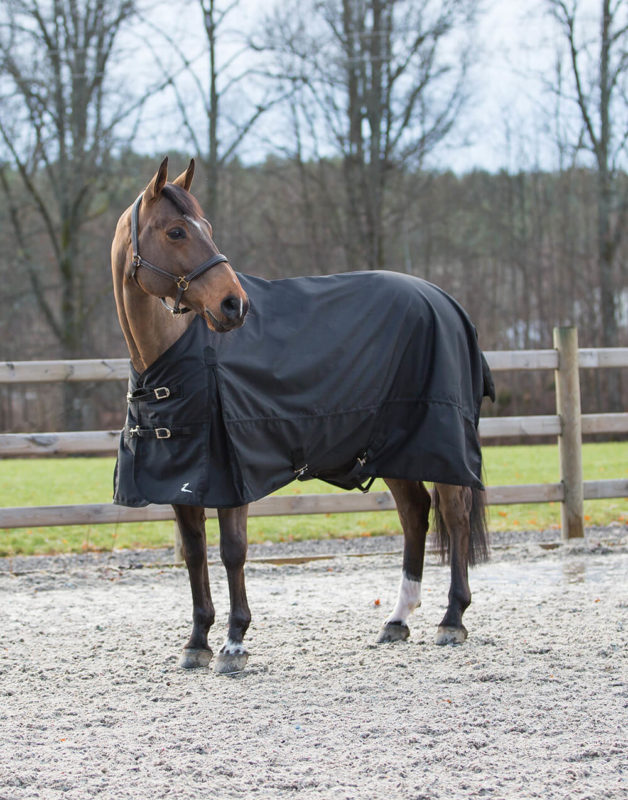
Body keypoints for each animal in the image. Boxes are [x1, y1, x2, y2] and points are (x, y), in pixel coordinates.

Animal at [111, 157, 494, 674]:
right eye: (175, 231)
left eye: (206, 227)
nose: (234, 304)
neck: (176, 355)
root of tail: (446, 301)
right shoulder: (184, 484)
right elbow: (194, 555)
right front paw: (197, 642)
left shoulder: (233, 477)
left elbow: (233, 552)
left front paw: (234, 644)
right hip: (396, 450)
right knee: (415, 515)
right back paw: (396, 620)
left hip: (441, 445)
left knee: (454, 515)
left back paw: (452, 619)